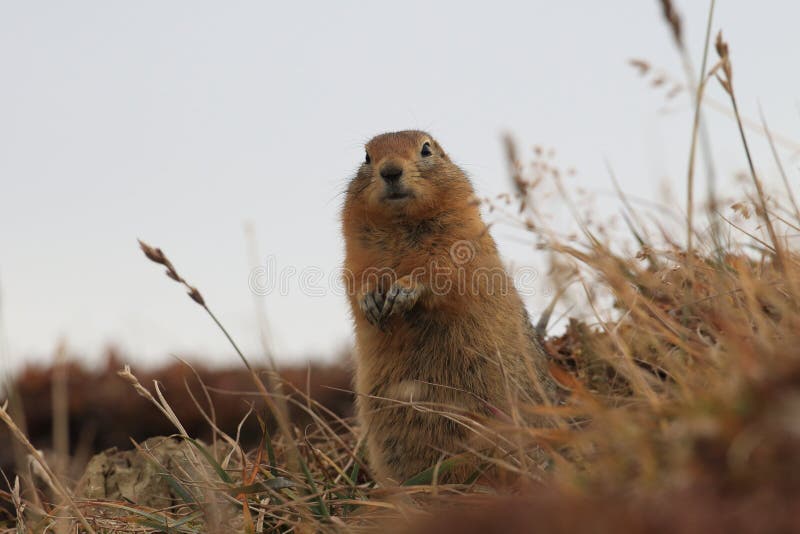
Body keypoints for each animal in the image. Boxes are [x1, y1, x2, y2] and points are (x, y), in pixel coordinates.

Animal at [341, 130, 556, 483]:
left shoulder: (458, 241)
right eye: (367, 157)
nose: (390, 171)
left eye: (426, 149)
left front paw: (403, 290)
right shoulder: (357, 256)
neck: (401, 225)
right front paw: (371, 301)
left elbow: (442, 273)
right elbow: (355, 280)